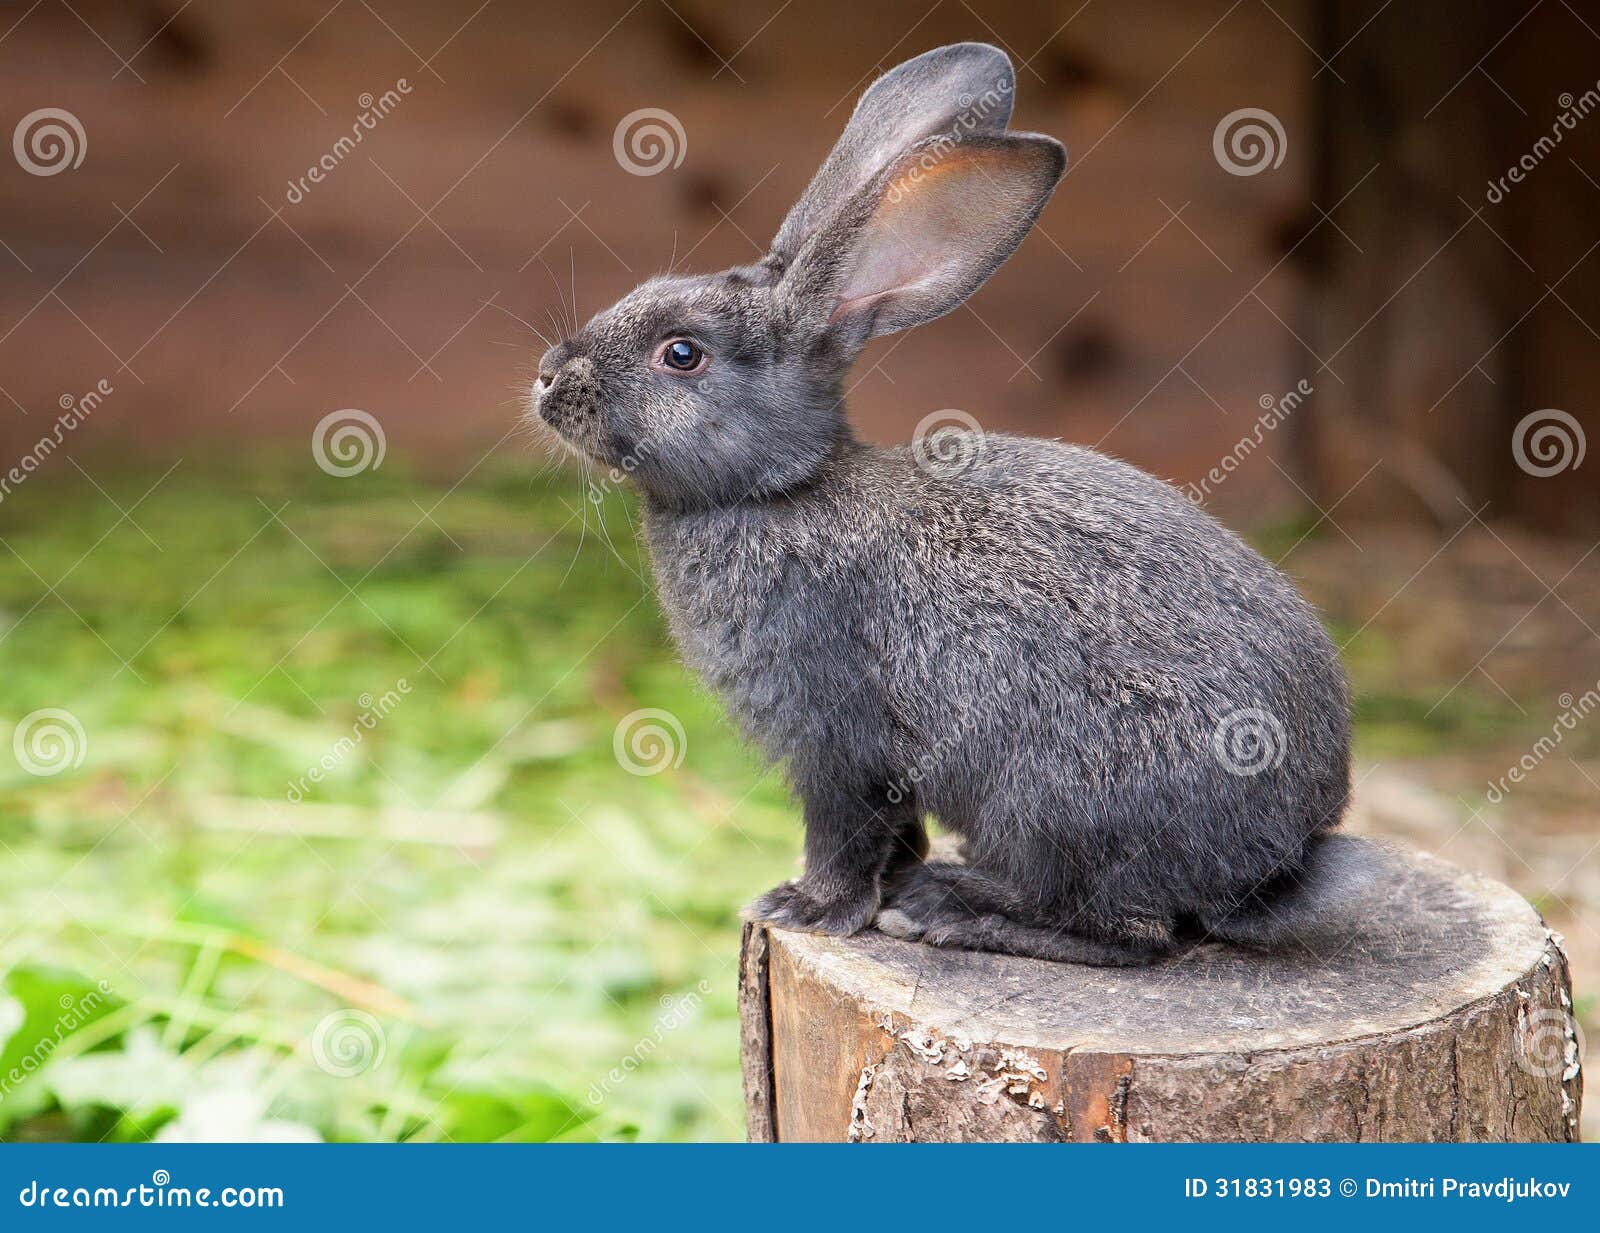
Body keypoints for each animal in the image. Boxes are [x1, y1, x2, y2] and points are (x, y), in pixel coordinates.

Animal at [529, 42, 1354, 966]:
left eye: (682, 354)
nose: (549, 377)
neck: (781, 487)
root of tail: (1284, 856)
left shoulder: (840, 743)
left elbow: (844, 832)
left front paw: (806, 906)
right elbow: (896, 834)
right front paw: (870, 889)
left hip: (1057, 800)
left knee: (1131, 933)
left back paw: (952, 911)